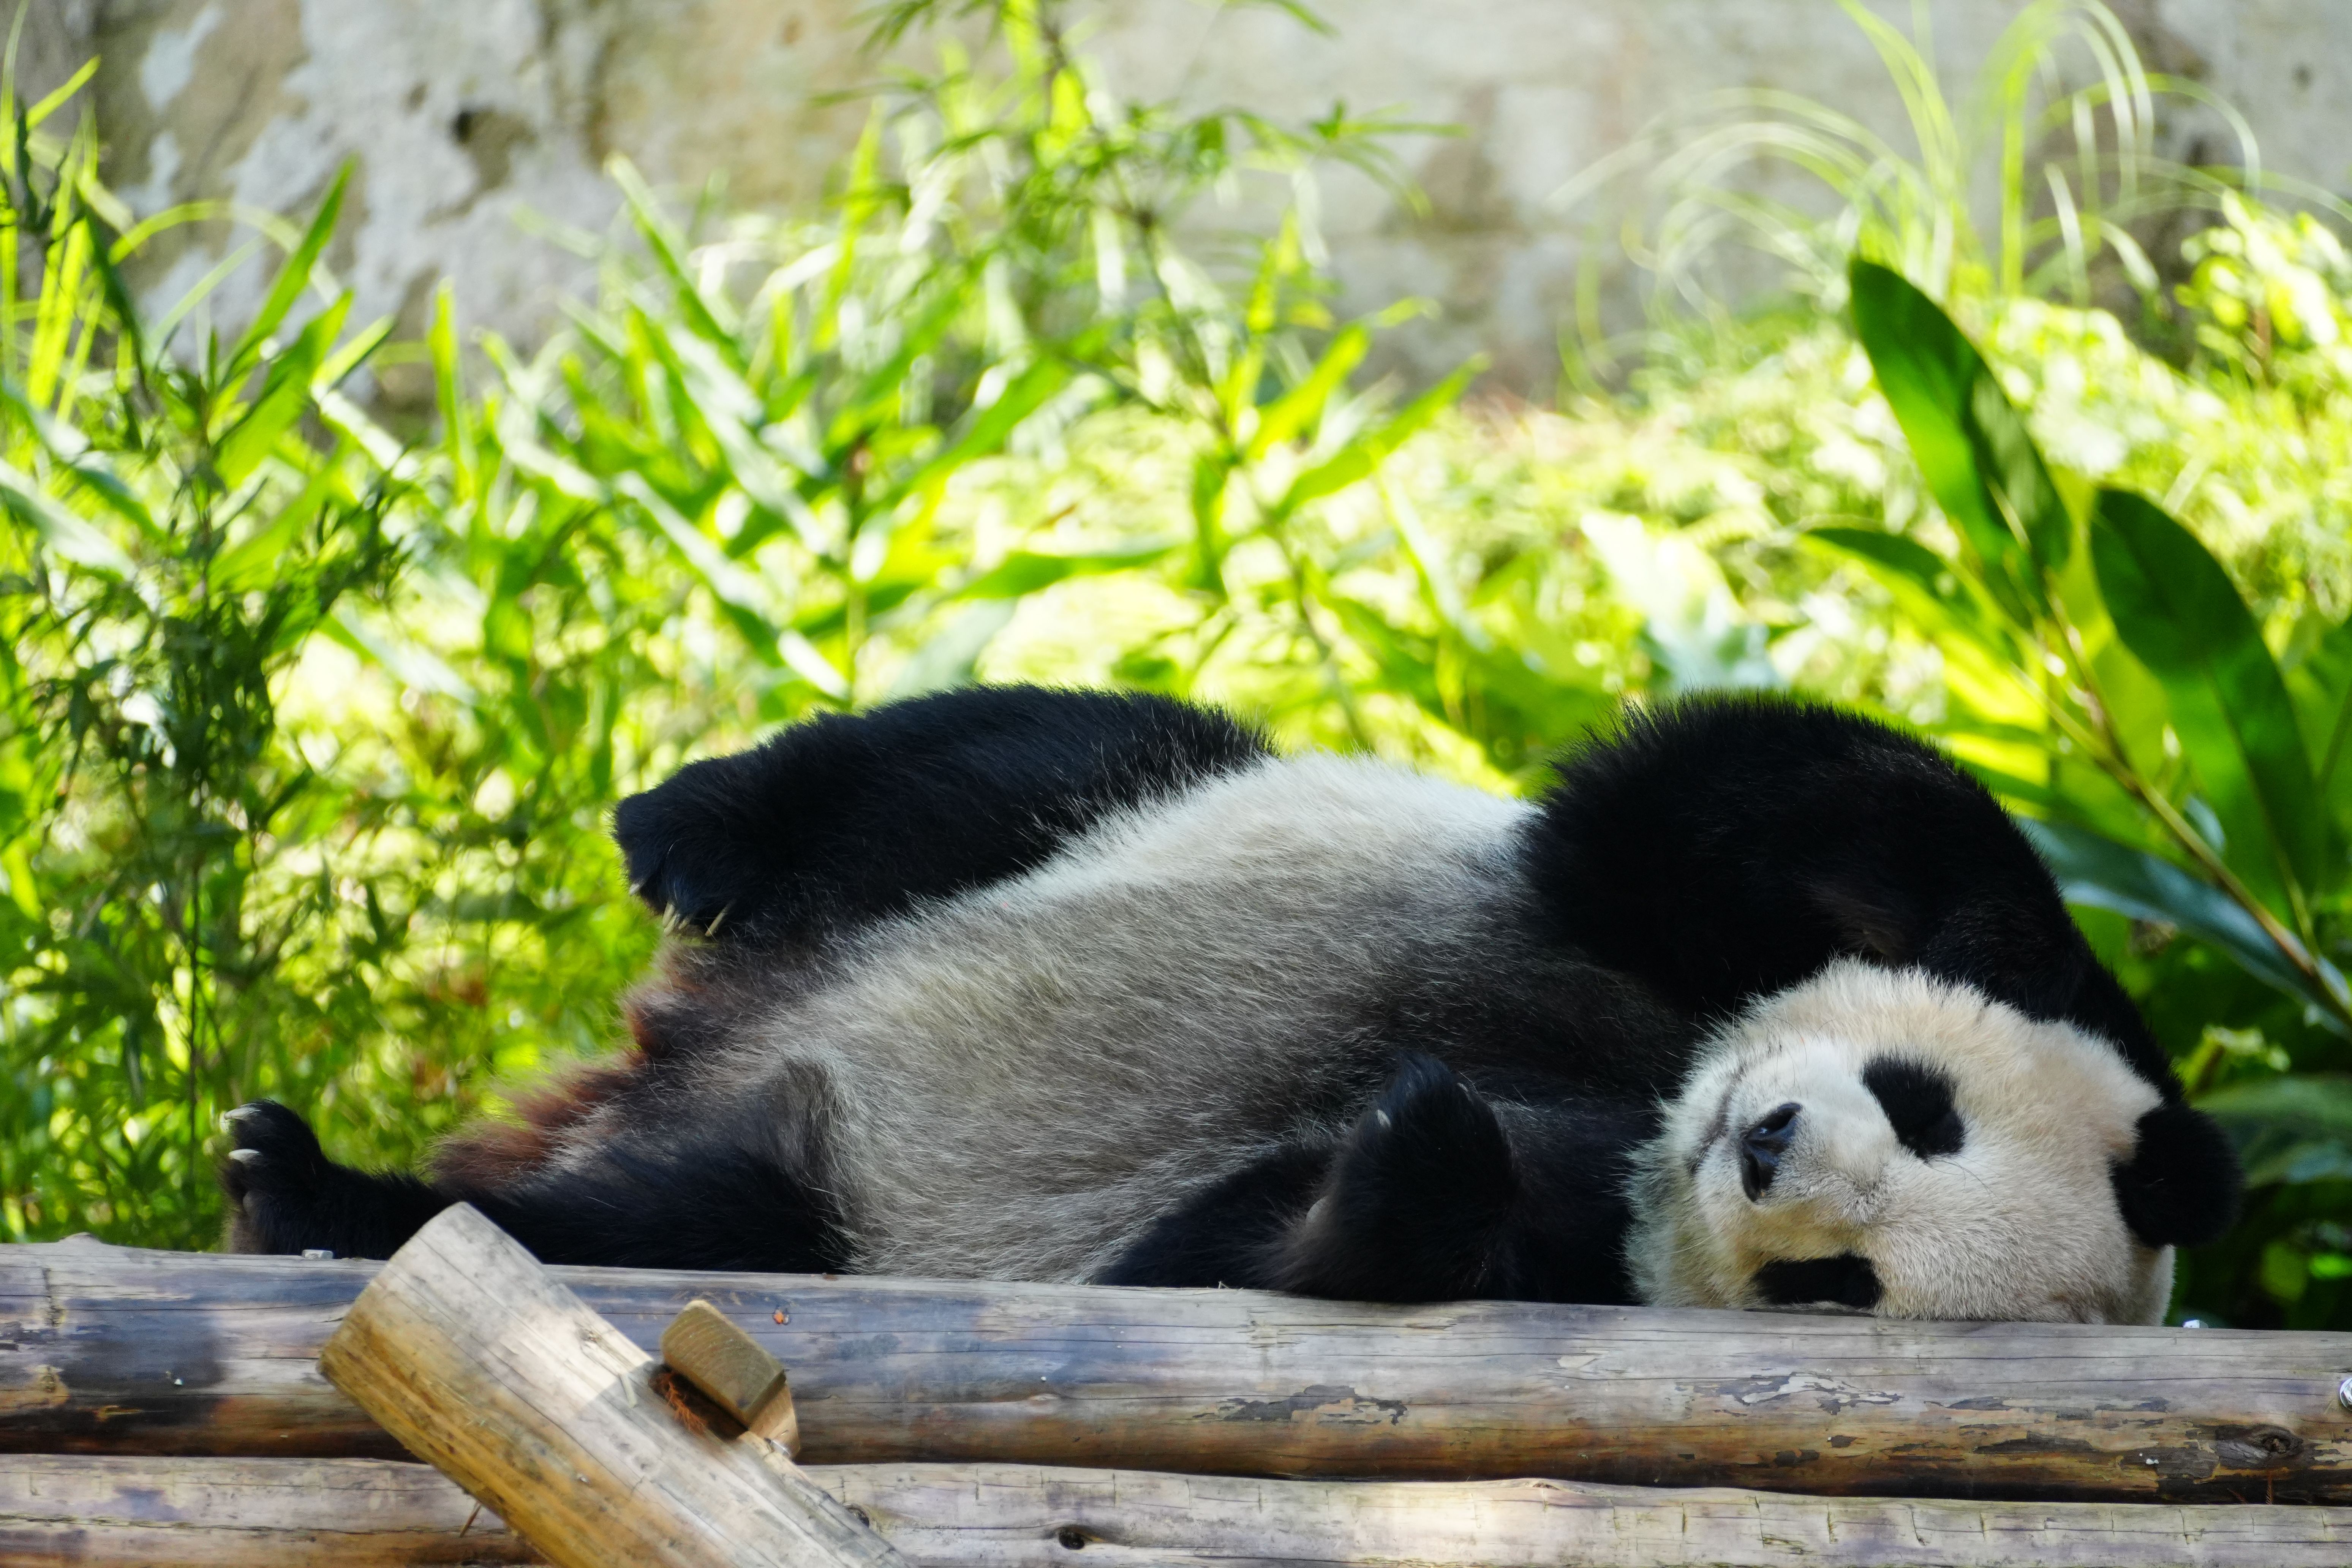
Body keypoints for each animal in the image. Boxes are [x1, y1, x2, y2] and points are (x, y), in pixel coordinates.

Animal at [221, 686, 2242, 1321]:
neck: (1647, 1095)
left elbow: (1238, 1258)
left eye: (1847, 1286)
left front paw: (1413, 1152)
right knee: (1008, 765)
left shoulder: (1579, 1247)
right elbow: (1729, 809)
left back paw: (314, 1191)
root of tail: (681, 1048)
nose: (1763, 1152)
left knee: (648, 1224)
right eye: (1921, 1103)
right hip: (1096, 825)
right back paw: (699, 826)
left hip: (820, 1198)